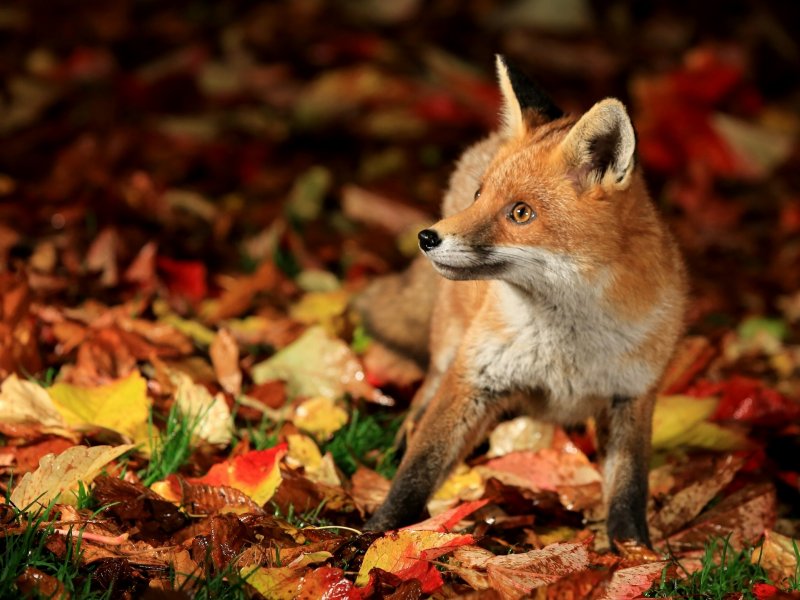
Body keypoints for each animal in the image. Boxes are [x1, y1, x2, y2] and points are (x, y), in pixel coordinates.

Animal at [358, 56, 688, 547]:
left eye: (520, 213)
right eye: (480, 195)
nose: (427, 237)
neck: (567, 347)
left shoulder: (632, 395)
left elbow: (629, 492)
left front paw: (635, 553)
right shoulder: (473, 377)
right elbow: (419, 469)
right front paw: (374, 536)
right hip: (450, 345)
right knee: (423, 397)